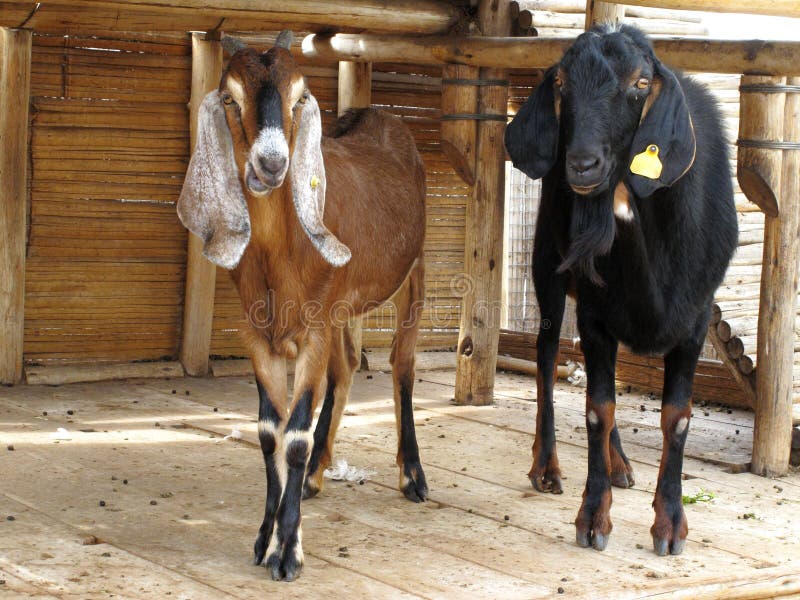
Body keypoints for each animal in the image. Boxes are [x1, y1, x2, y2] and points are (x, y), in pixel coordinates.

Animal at [177, 31, 428, 581]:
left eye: (299, 98)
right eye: (230, 98)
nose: (272, 164)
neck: (281, 252)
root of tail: (378, 115)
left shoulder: (312, 328)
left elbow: (295, 434)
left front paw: (288, 552)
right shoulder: (258, 332)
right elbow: (270, 433)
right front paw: (264, 538)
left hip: (412, 271)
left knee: (401, 364)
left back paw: (412, 476)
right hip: (342, 306)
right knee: (348, 364)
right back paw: (316, 474)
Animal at [504, 25, 737, 555]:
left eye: (641, 83)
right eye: (561, 83)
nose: (582, 165)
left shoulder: (695, 320)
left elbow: (676, 417)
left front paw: (670, 526)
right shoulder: (594, 315)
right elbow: (598, 410)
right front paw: (593, 519)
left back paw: (621, 465)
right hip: (547, 267)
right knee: (546, 358)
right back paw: (547, 466)